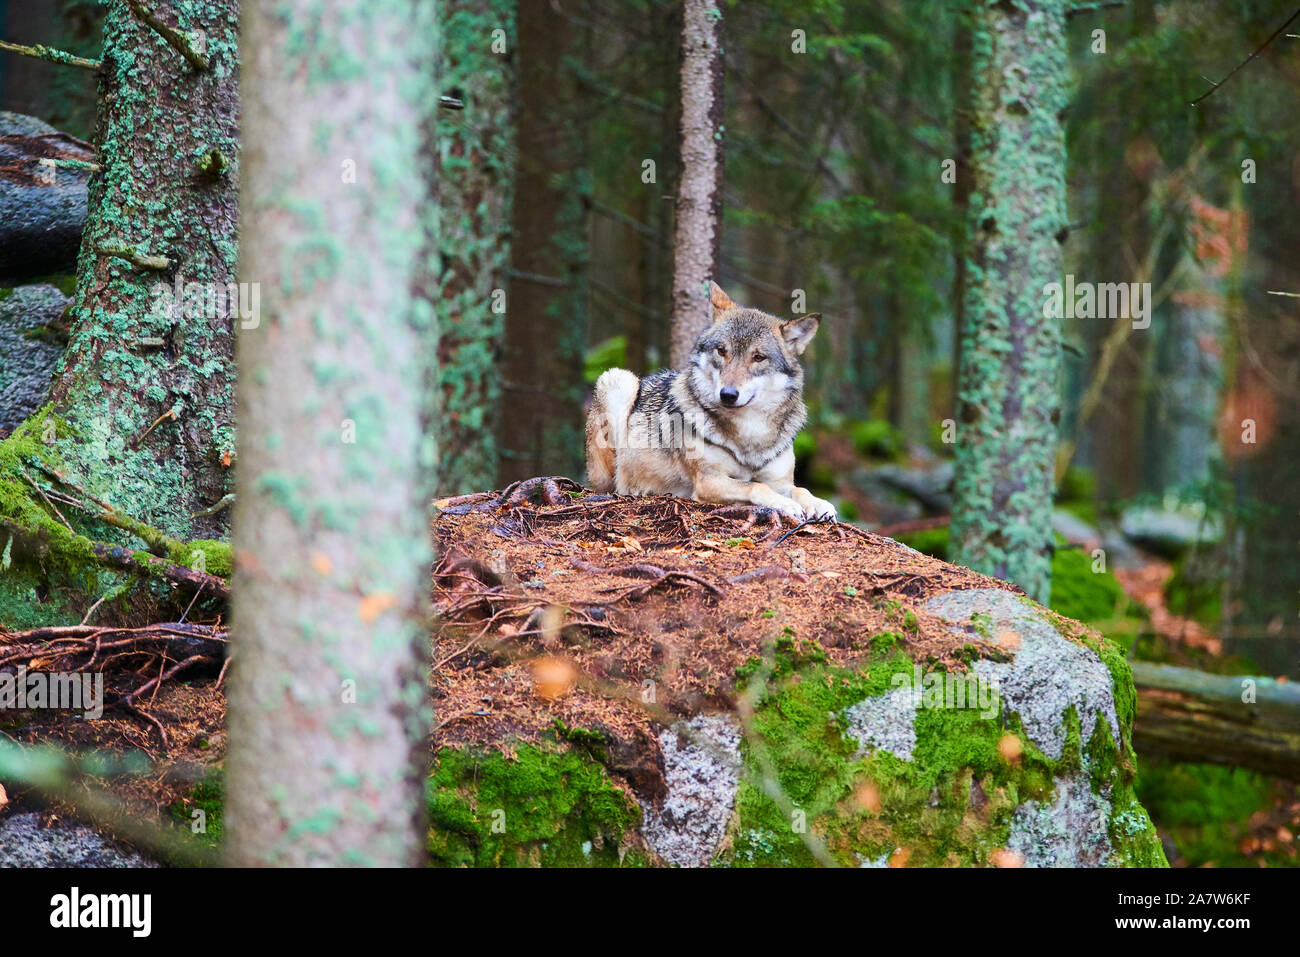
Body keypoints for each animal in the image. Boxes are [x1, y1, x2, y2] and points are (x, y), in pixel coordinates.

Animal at [585, 282, 836, 522]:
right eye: (721, 351)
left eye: (758, 357)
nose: (728, 394)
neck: (750, 433)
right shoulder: (709, 480)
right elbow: (756, 485)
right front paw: (787, 505)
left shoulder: (780, 482)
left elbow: (801, 489)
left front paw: (821, 504)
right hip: (619, 380)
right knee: (617, 486)